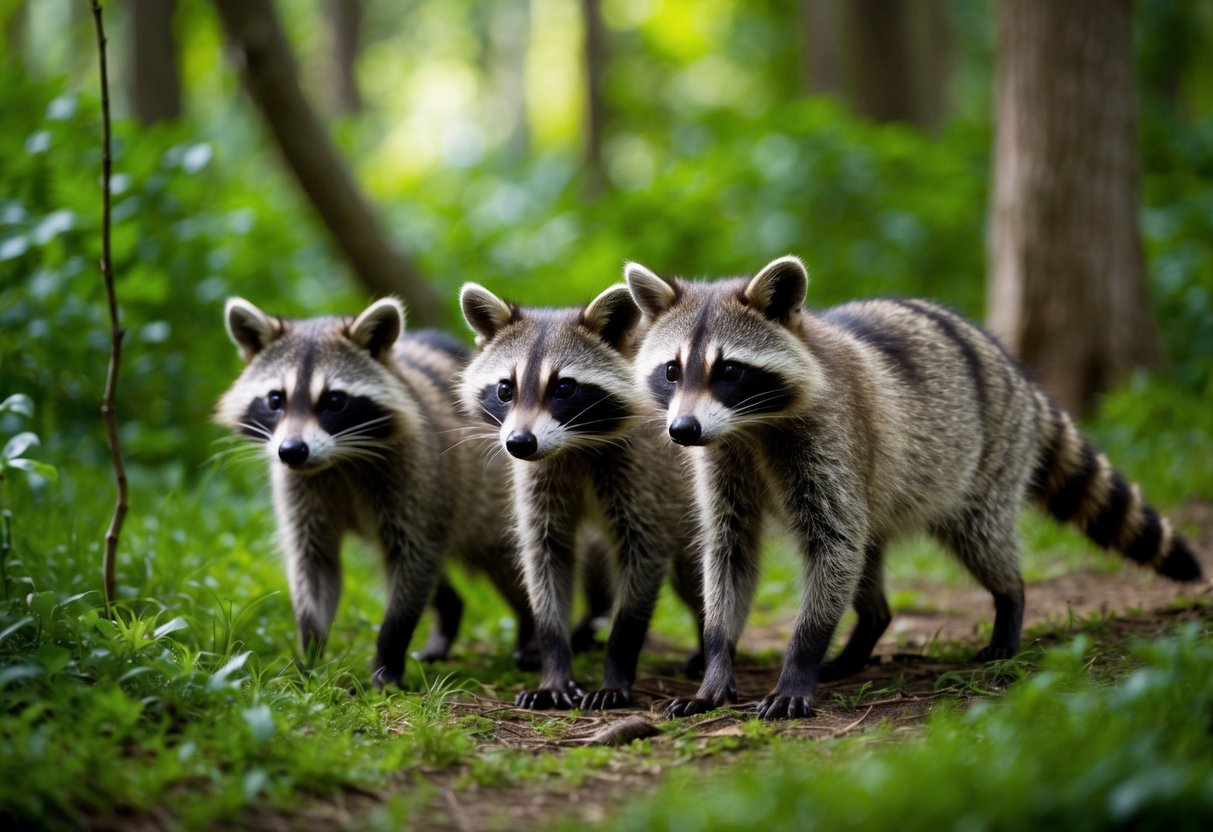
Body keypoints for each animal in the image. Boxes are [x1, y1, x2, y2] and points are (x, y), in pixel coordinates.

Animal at [215, 297, 538, 687]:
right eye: (275, 399)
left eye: (334, 401)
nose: (292, 451)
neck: (337, 458)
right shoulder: (301, 489)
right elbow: (313, 563)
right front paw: (310, 654)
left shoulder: (414, 477)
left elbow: (412, 561)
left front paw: (388, 656)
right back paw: (449, 614)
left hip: (488, 504)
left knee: (510, 565)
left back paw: (532, 633)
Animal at [458, 282, 705, 711]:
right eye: (505, 389)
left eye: (564, 388)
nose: (519, 443)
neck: (572, 445)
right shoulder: (539, 480)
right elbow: (546, 557)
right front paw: (554, 665)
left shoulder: (640, 474)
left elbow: (642, 557)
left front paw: (617, 667)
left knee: (694, 574)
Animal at [625, 255, 1204, 721]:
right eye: (672, 370)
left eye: (729, 371)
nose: (682, 431)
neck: (750, 427)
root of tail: (1013, 371)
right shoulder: (726, 463)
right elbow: (730, 550)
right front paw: (716, 660)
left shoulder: (832, 439)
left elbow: (833, 545)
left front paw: (800, 659)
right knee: (867, 556)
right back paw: (865, 632)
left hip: (984, 464)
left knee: (979, 540)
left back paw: (1009, 602)